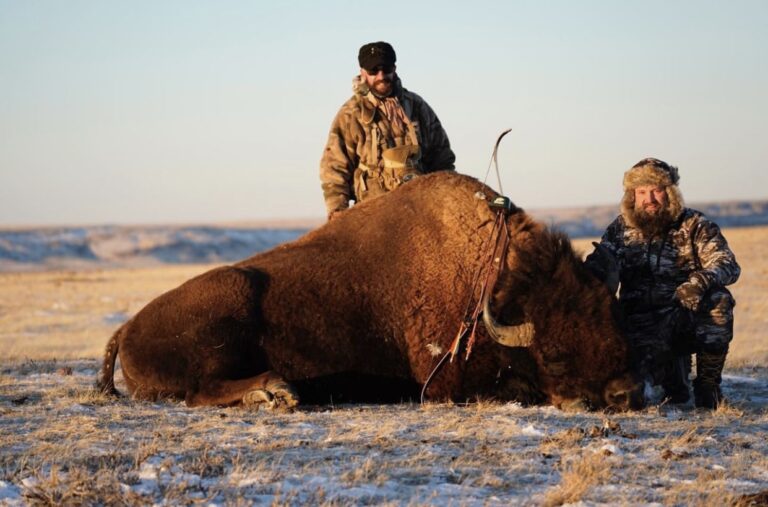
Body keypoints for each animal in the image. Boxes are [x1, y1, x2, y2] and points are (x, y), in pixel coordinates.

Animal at [97, 172, 644, 411]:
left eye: (616, 330)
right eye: (554, 355)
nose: (627, 394)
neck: (489, 277)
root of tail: (126, 328)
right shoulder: (442, 382)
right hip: (229, 306)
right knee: (200, 392)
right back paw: (277, 392)